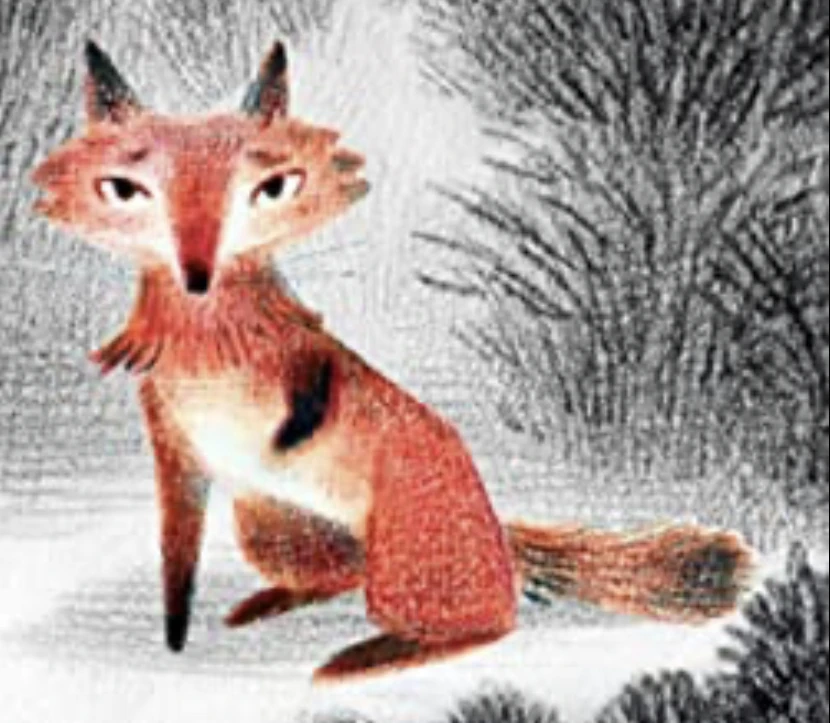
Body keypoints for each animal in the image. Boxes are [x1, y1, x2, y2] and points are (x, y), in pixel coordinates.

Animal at [31, 39, 754, 682]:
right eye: (125, 190)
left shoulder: (304, 372)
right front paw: (175, 639)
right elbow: (176, 566)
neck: (210, 354)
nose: (198, 274)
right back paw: (274, 601)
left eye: (272, 188)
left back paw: (363, 657)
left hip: (399, 560)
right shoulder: (174, 451)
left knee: (486, 620)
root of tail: (494, 525)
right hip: (267, 523)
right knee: (341, 578)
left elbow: (314, 390)